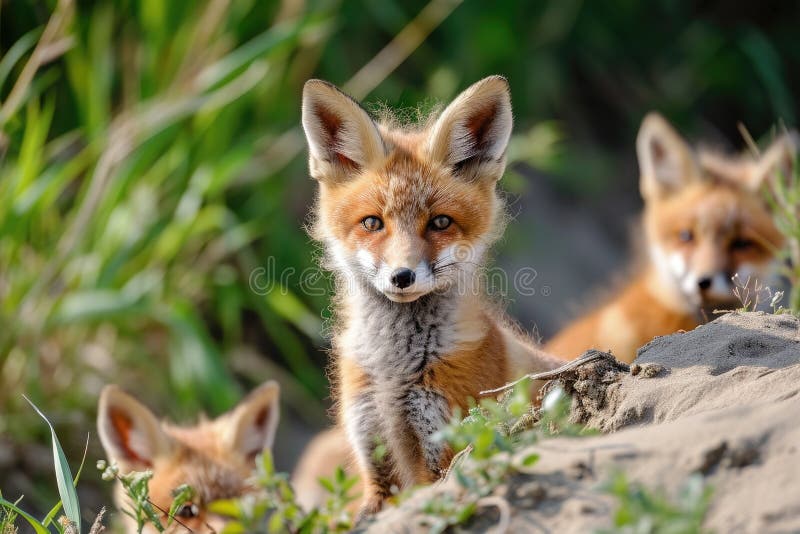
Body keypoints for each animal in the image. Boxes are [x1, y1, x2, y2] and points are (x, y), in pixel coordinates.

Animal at [300, 75, 564, 516]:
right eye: (372, 223)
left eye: (440, 222)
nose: (402, 276)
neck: (393, 373)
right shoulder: (374, 460)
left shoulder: (444, 454)